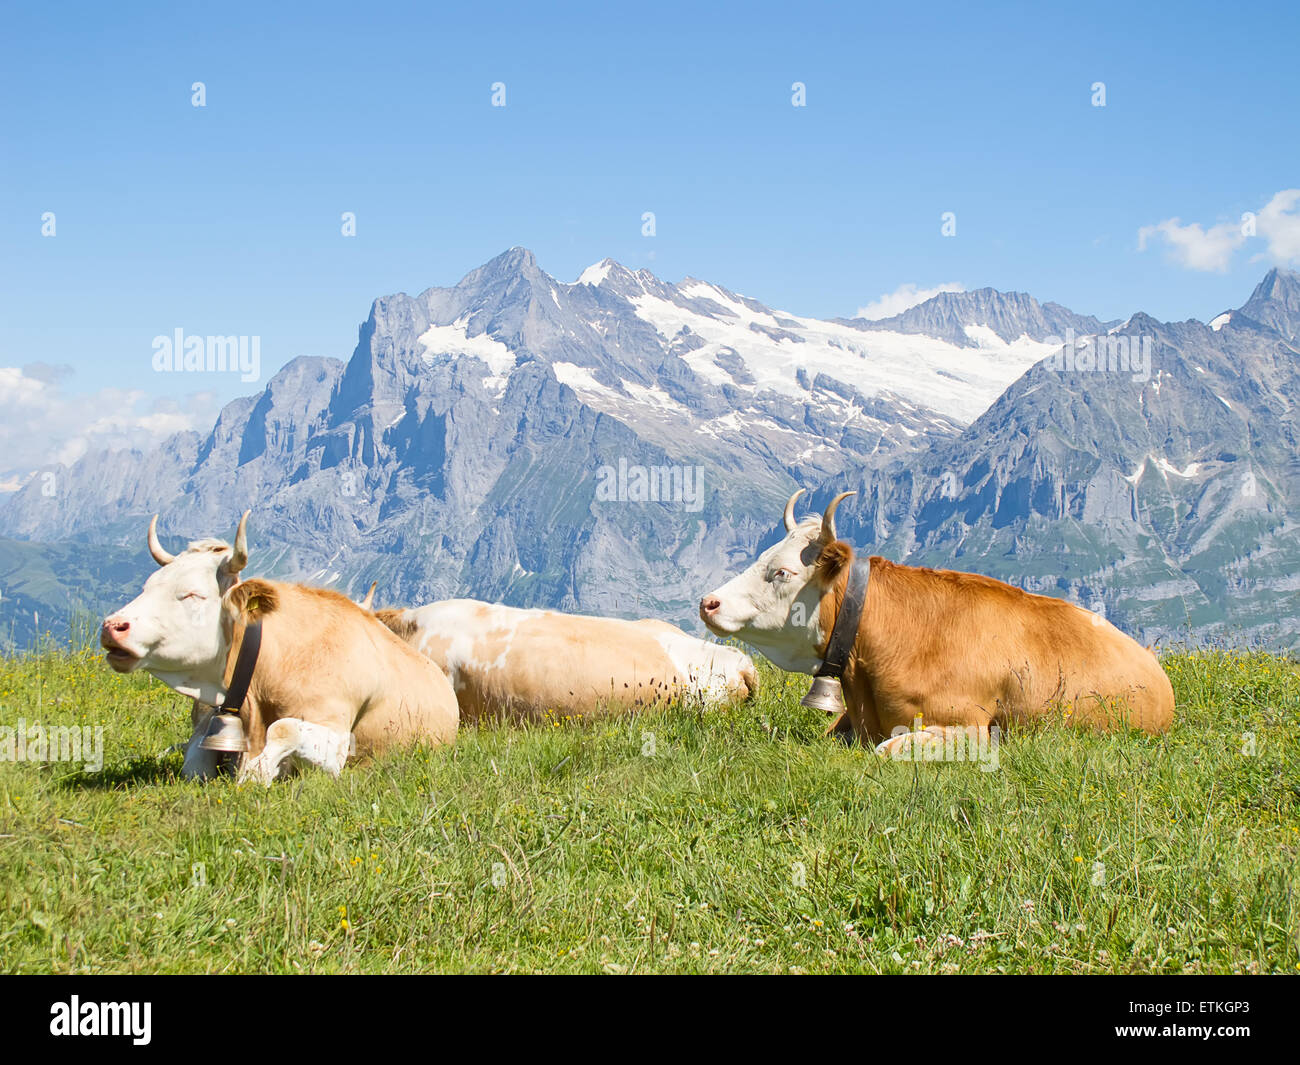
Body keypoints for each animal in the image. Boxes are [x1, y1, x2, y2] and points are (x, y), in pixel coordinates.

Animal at [100, 513, 458, 783]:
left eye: (193, 594)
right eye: (148, 585)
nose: (111, 626)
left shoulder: (337, 739)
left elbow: (281, 733)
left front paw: (260, 771)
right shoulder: (206, 727)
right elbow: (194, 762)